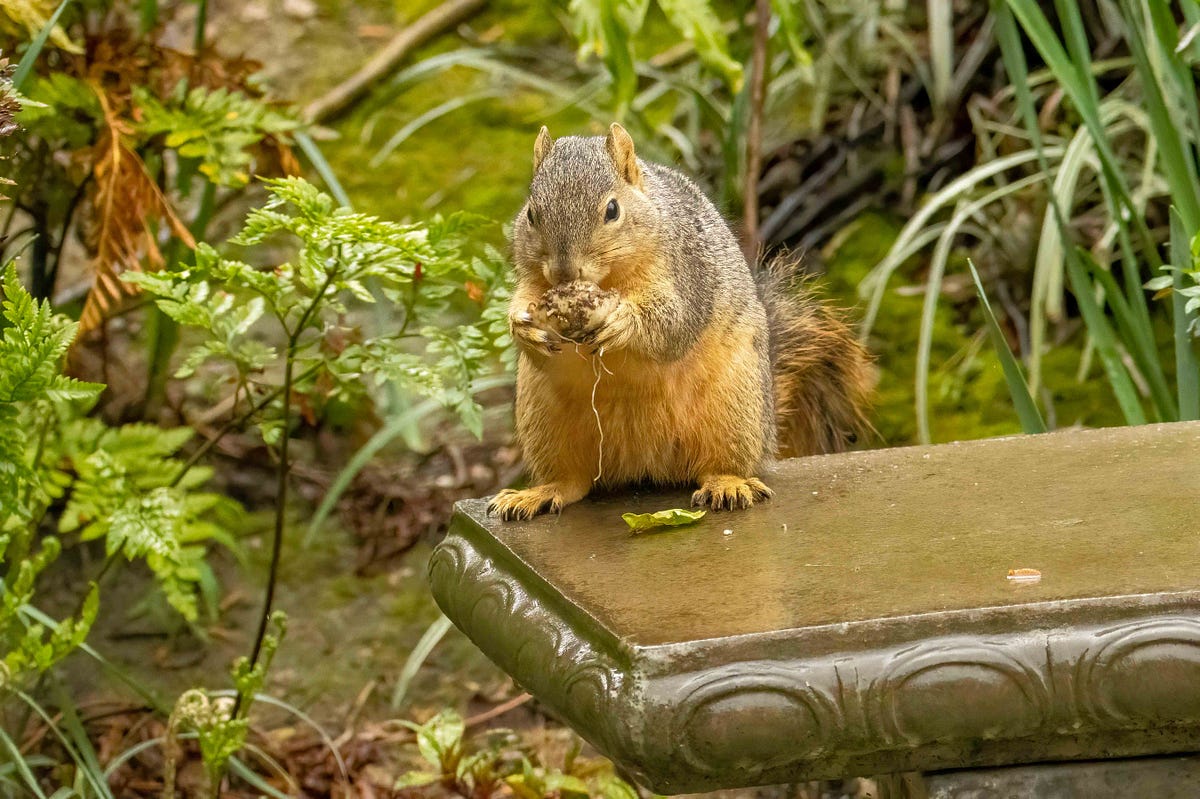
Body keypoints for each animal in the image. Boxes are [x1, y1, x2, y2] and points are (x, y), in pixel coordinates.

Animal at [488, 123, 875, 521]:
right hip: (543, 420)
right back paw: (539, 493)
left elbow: (673, 322)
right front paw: (523, 327)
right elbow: (522, 303)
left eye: (612, 210)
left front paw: (621, 321)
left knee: (722, 463)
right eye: (531, 214)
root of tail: (644, 465)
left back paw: (728, 484)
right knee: (572, 481)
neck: (609, 279)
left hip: (734, 408)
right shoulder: (532, 278)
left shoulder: (688, 273)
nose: (564, 273)